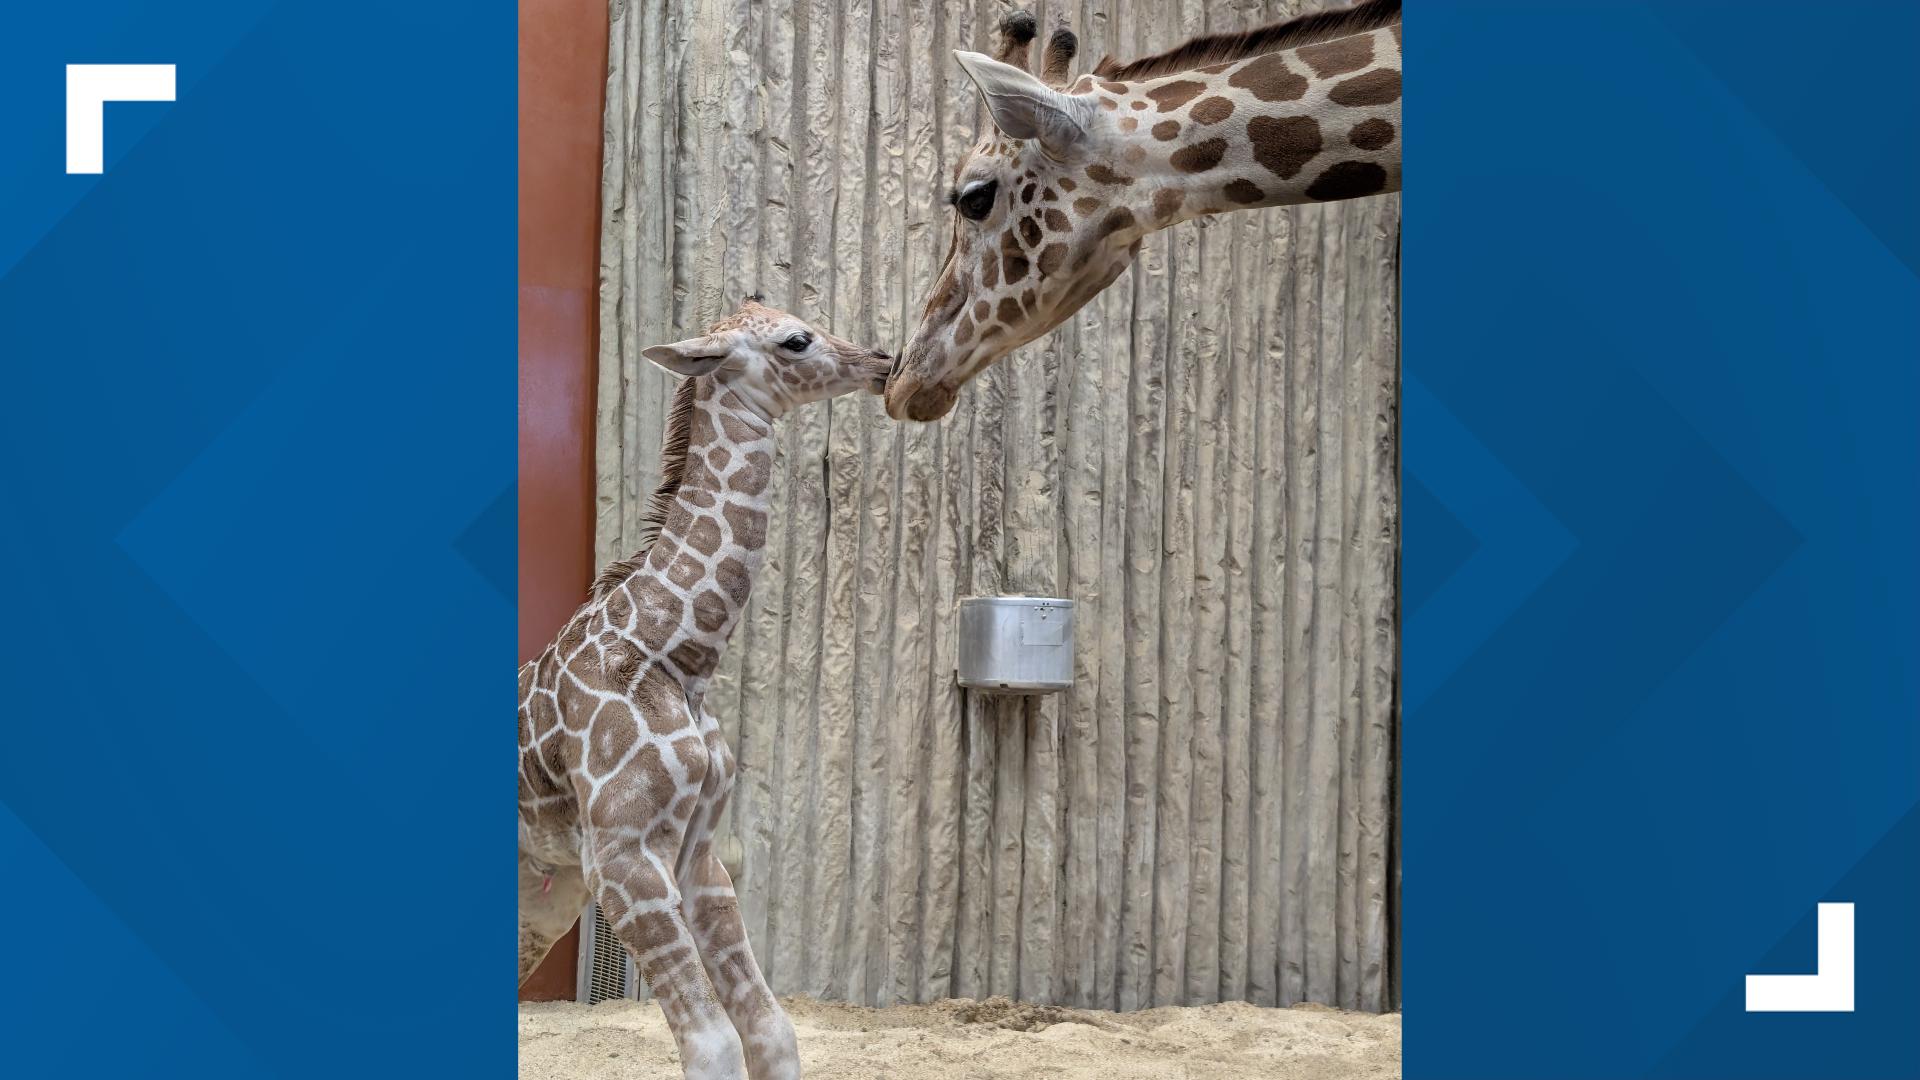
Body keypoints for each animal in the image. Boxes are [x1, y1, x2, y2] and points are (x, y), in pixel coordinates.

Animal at [518, 299, 891, 1080]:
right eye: (796, 339)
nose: (881, 360)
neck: (679, 657)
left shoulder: (700, 858)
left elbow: (771, 1029)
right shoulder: (624, 857)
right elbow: (712, 1044)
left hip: (543, 890)